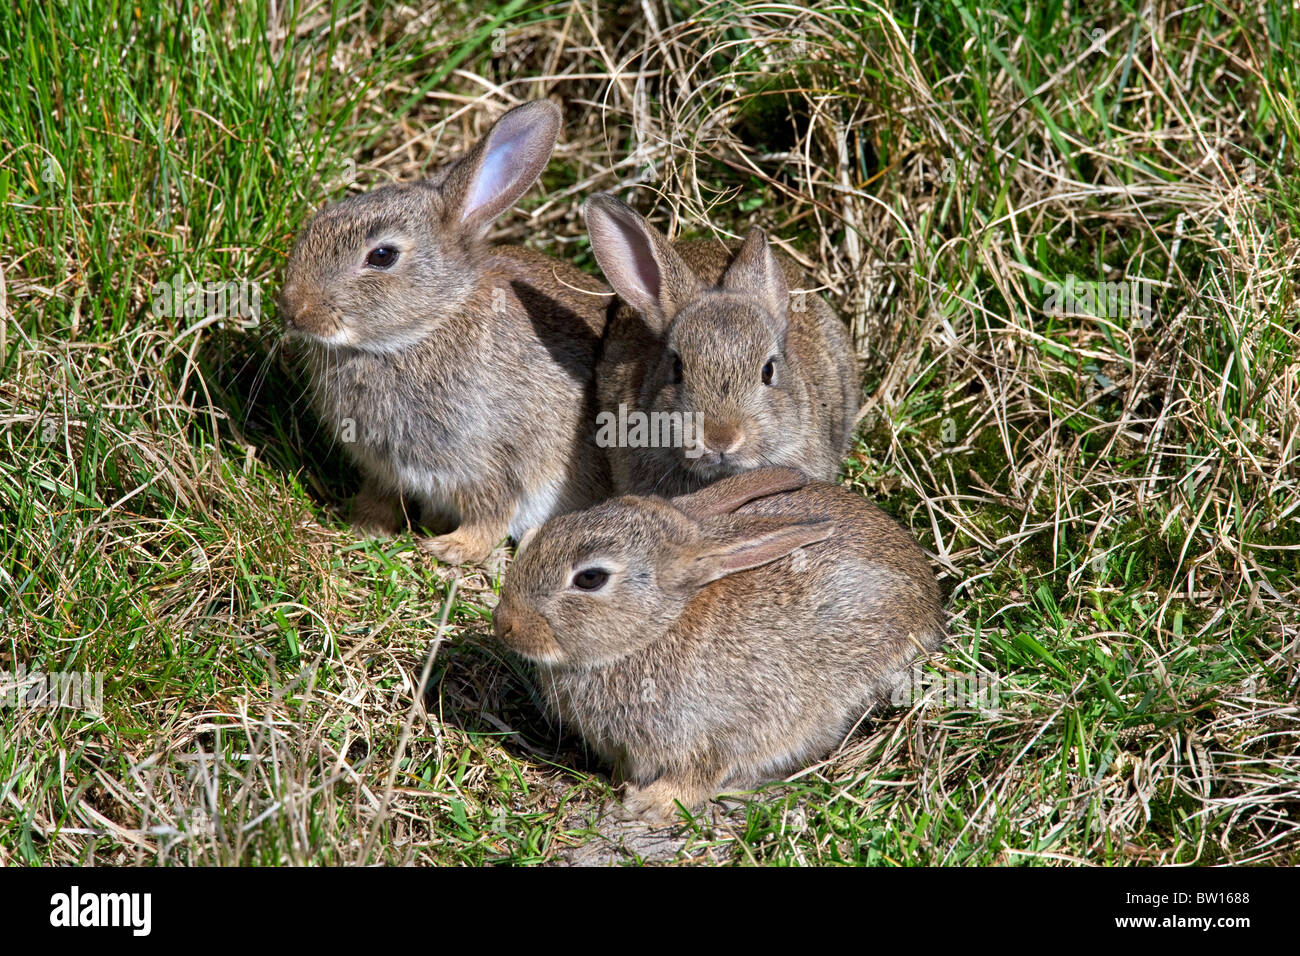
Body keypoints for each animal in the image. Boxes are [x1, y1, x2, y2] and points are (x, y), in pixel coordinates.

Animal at [279, 100, 613, 565]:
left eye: (382, 255)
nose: (292, 310)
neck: (426, 328)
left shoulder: (492, 460)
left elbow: (491, 513)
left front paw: (451, 548)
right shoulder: (385, 470)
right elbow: (380, 496)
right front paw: (364, 526)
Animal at [493, 466, 946, 822]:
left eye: (590, 578)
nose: (504, 625)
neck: (656, 629)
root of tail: (928, 593)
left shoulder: (723, 731)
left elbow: (701, 774)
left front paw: (649, 805)